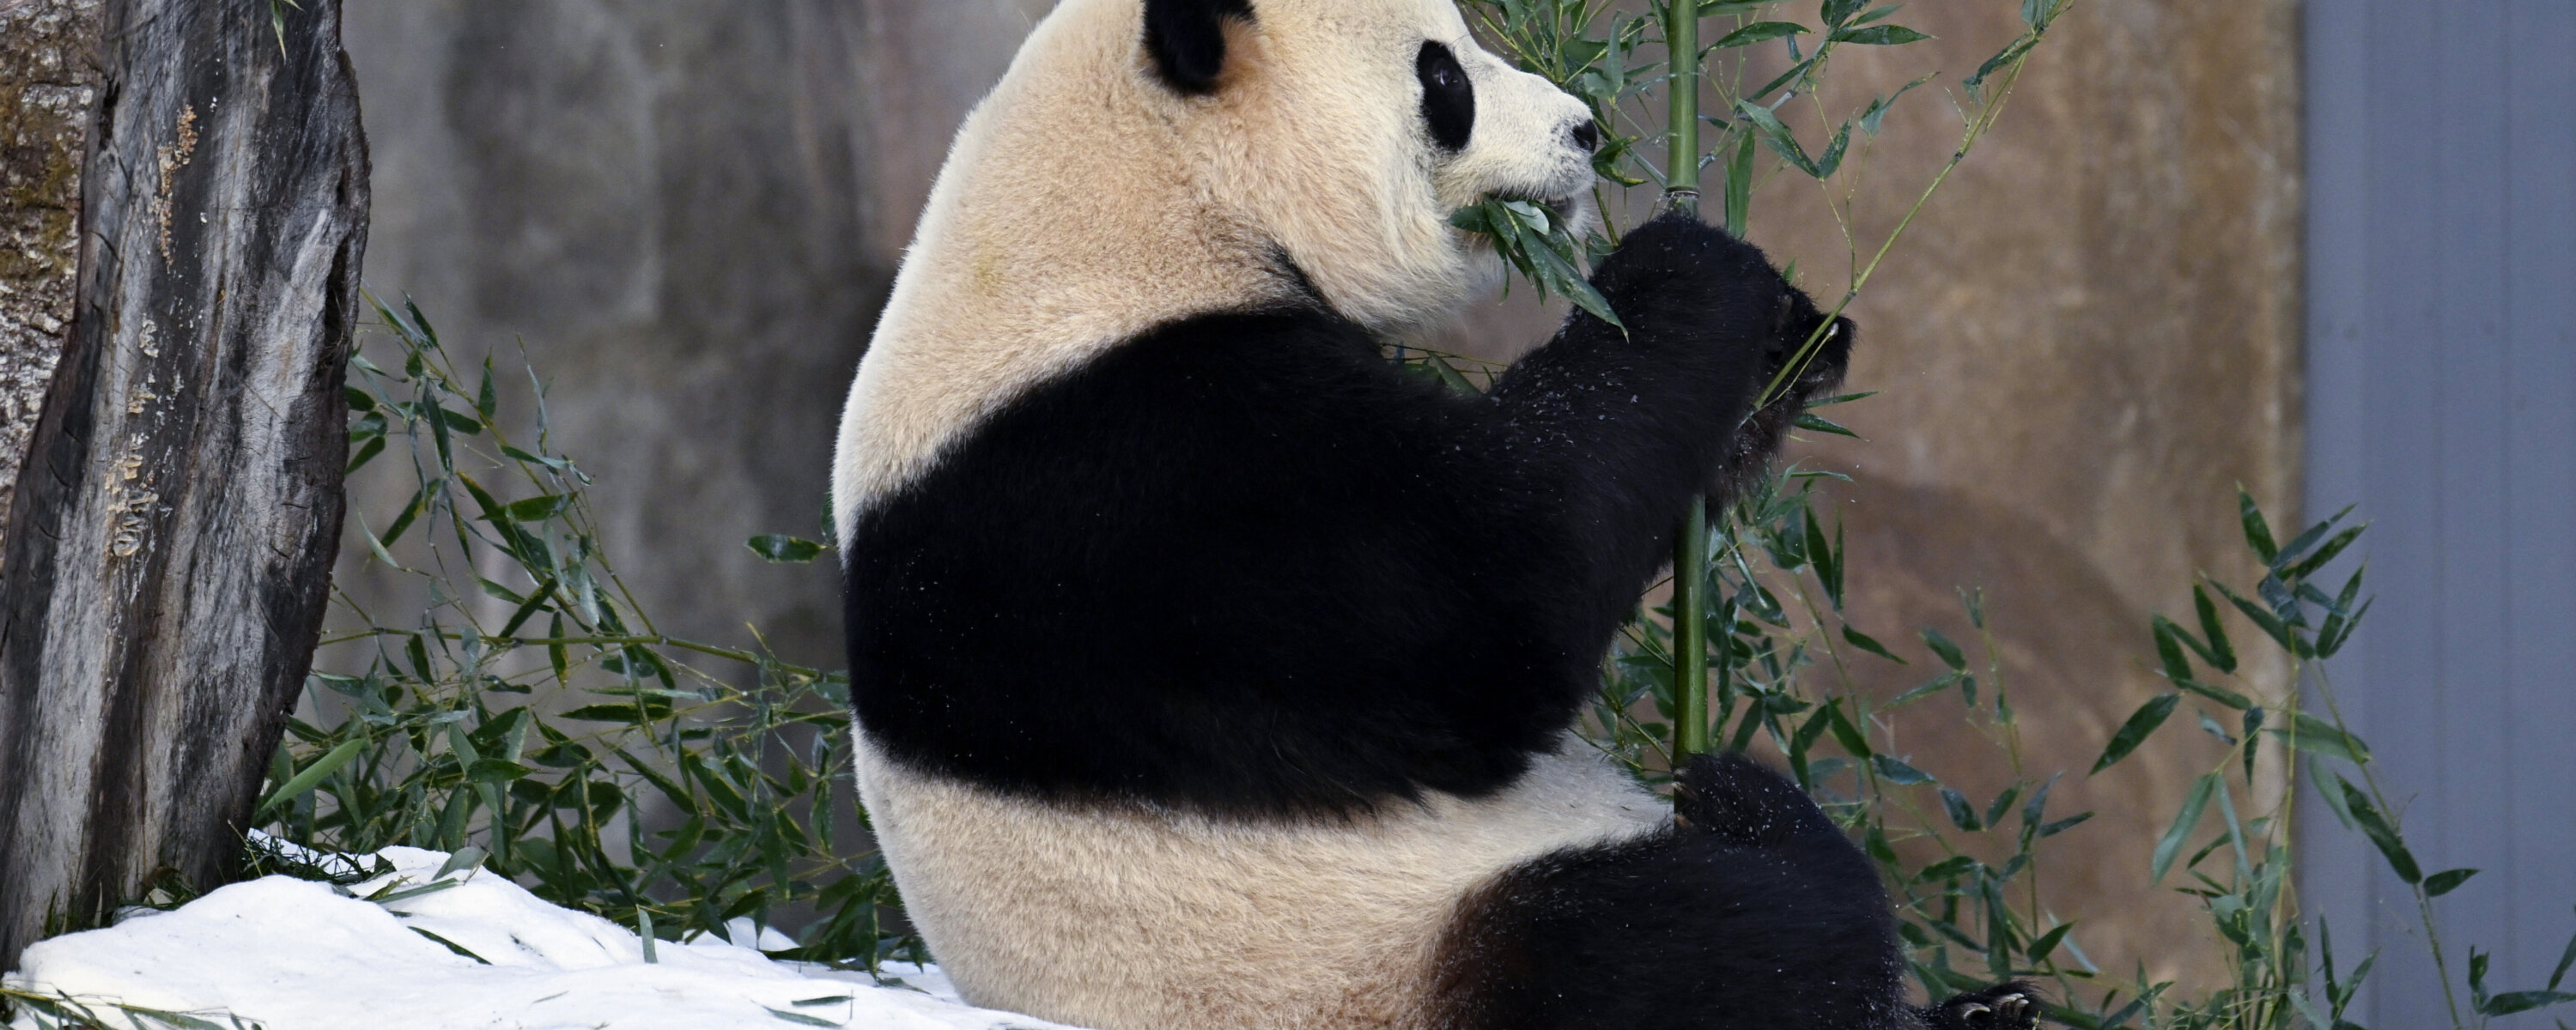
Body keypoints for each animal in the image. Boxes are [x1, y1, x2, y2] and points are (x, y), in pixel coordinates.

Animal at [828, 0, 2039, 1028]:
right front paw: (1692, 259)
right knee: (1658, 949)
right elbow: (1483, 596)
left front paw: (1793, 333)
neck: (1143, 193)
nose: (1585, 131)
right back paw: (1764, 824)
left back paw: (1982, 1006)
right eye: (1443, 76)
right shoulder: (1127, 479)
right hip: (1364, 951)